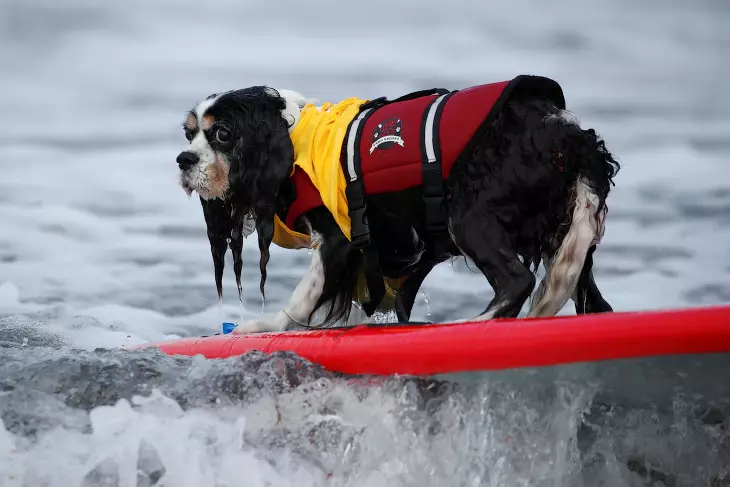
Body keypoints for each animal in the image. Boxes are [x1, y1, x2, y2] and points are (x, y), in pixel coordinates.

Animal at [175, 75, 616, 336]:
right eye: (189, 133)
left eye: (223, 134)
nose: (184, 160)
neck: (291, 139)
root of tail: (569, 135)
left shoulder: (339, 238)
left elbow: (302, 298)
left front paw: (263, 326)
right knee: (595, 302)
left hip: (469, 214)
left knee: (517, 280)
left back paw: (470, 322)